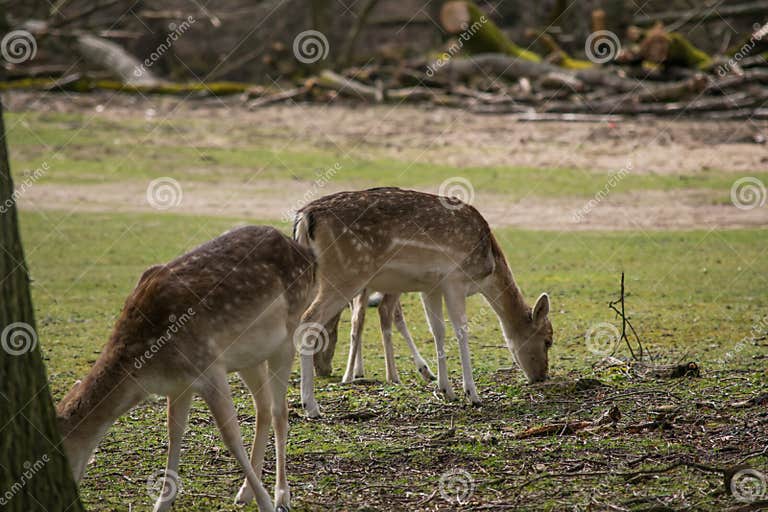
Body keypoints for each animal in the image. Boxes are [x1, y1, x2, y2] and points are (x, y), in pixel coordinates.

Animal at [56, 226, 316, 512]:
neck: (147, 371)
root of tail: (309, 255)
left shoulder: (209, 366)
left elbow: (231, 437)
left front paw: (266, 503)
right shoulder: (179, 385)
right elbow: (175, 433)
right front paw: (161, 503)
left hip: (288, 333)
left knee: (281, 411)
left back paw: (282, 496)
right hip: (250, 355)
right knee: (264, 408)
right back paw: (245, 492)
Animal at [293, 187, 553, 418]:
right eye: (548, 340)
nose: (542, 376)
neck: (488, 267)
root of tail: (304, 218)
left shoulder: (431, 287)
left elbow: (438, 330)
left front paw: (446, 390)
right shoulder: (455, 280)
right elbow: (461, 331)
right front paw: (472, 394)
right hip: (346, 274)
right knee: (308, 320)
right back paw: (312, 407)